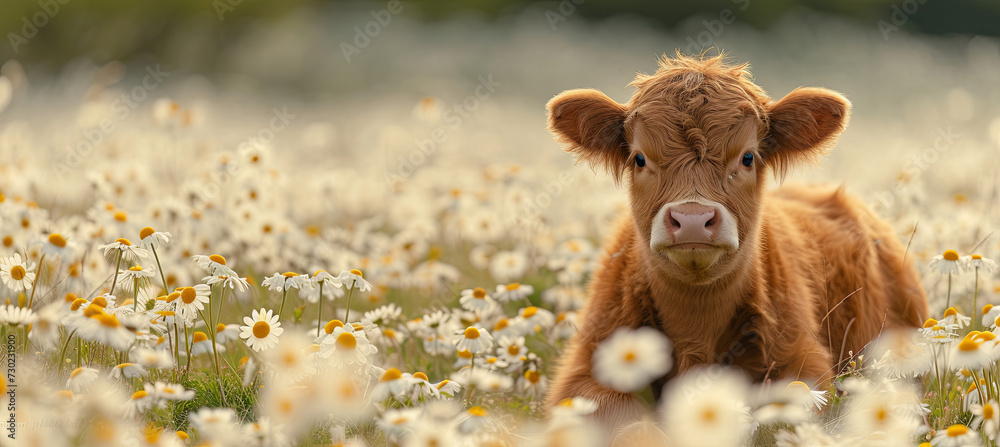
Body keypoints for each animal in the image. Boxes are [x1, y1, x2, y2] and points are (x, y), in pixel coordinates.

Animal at [544, 53, 929, 437]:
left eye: (747, 157)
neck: (697, 326)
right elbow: (629, 421)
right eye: (639, 158)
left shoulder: (804, 361)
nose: (693, 218)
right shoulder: (581, 375)